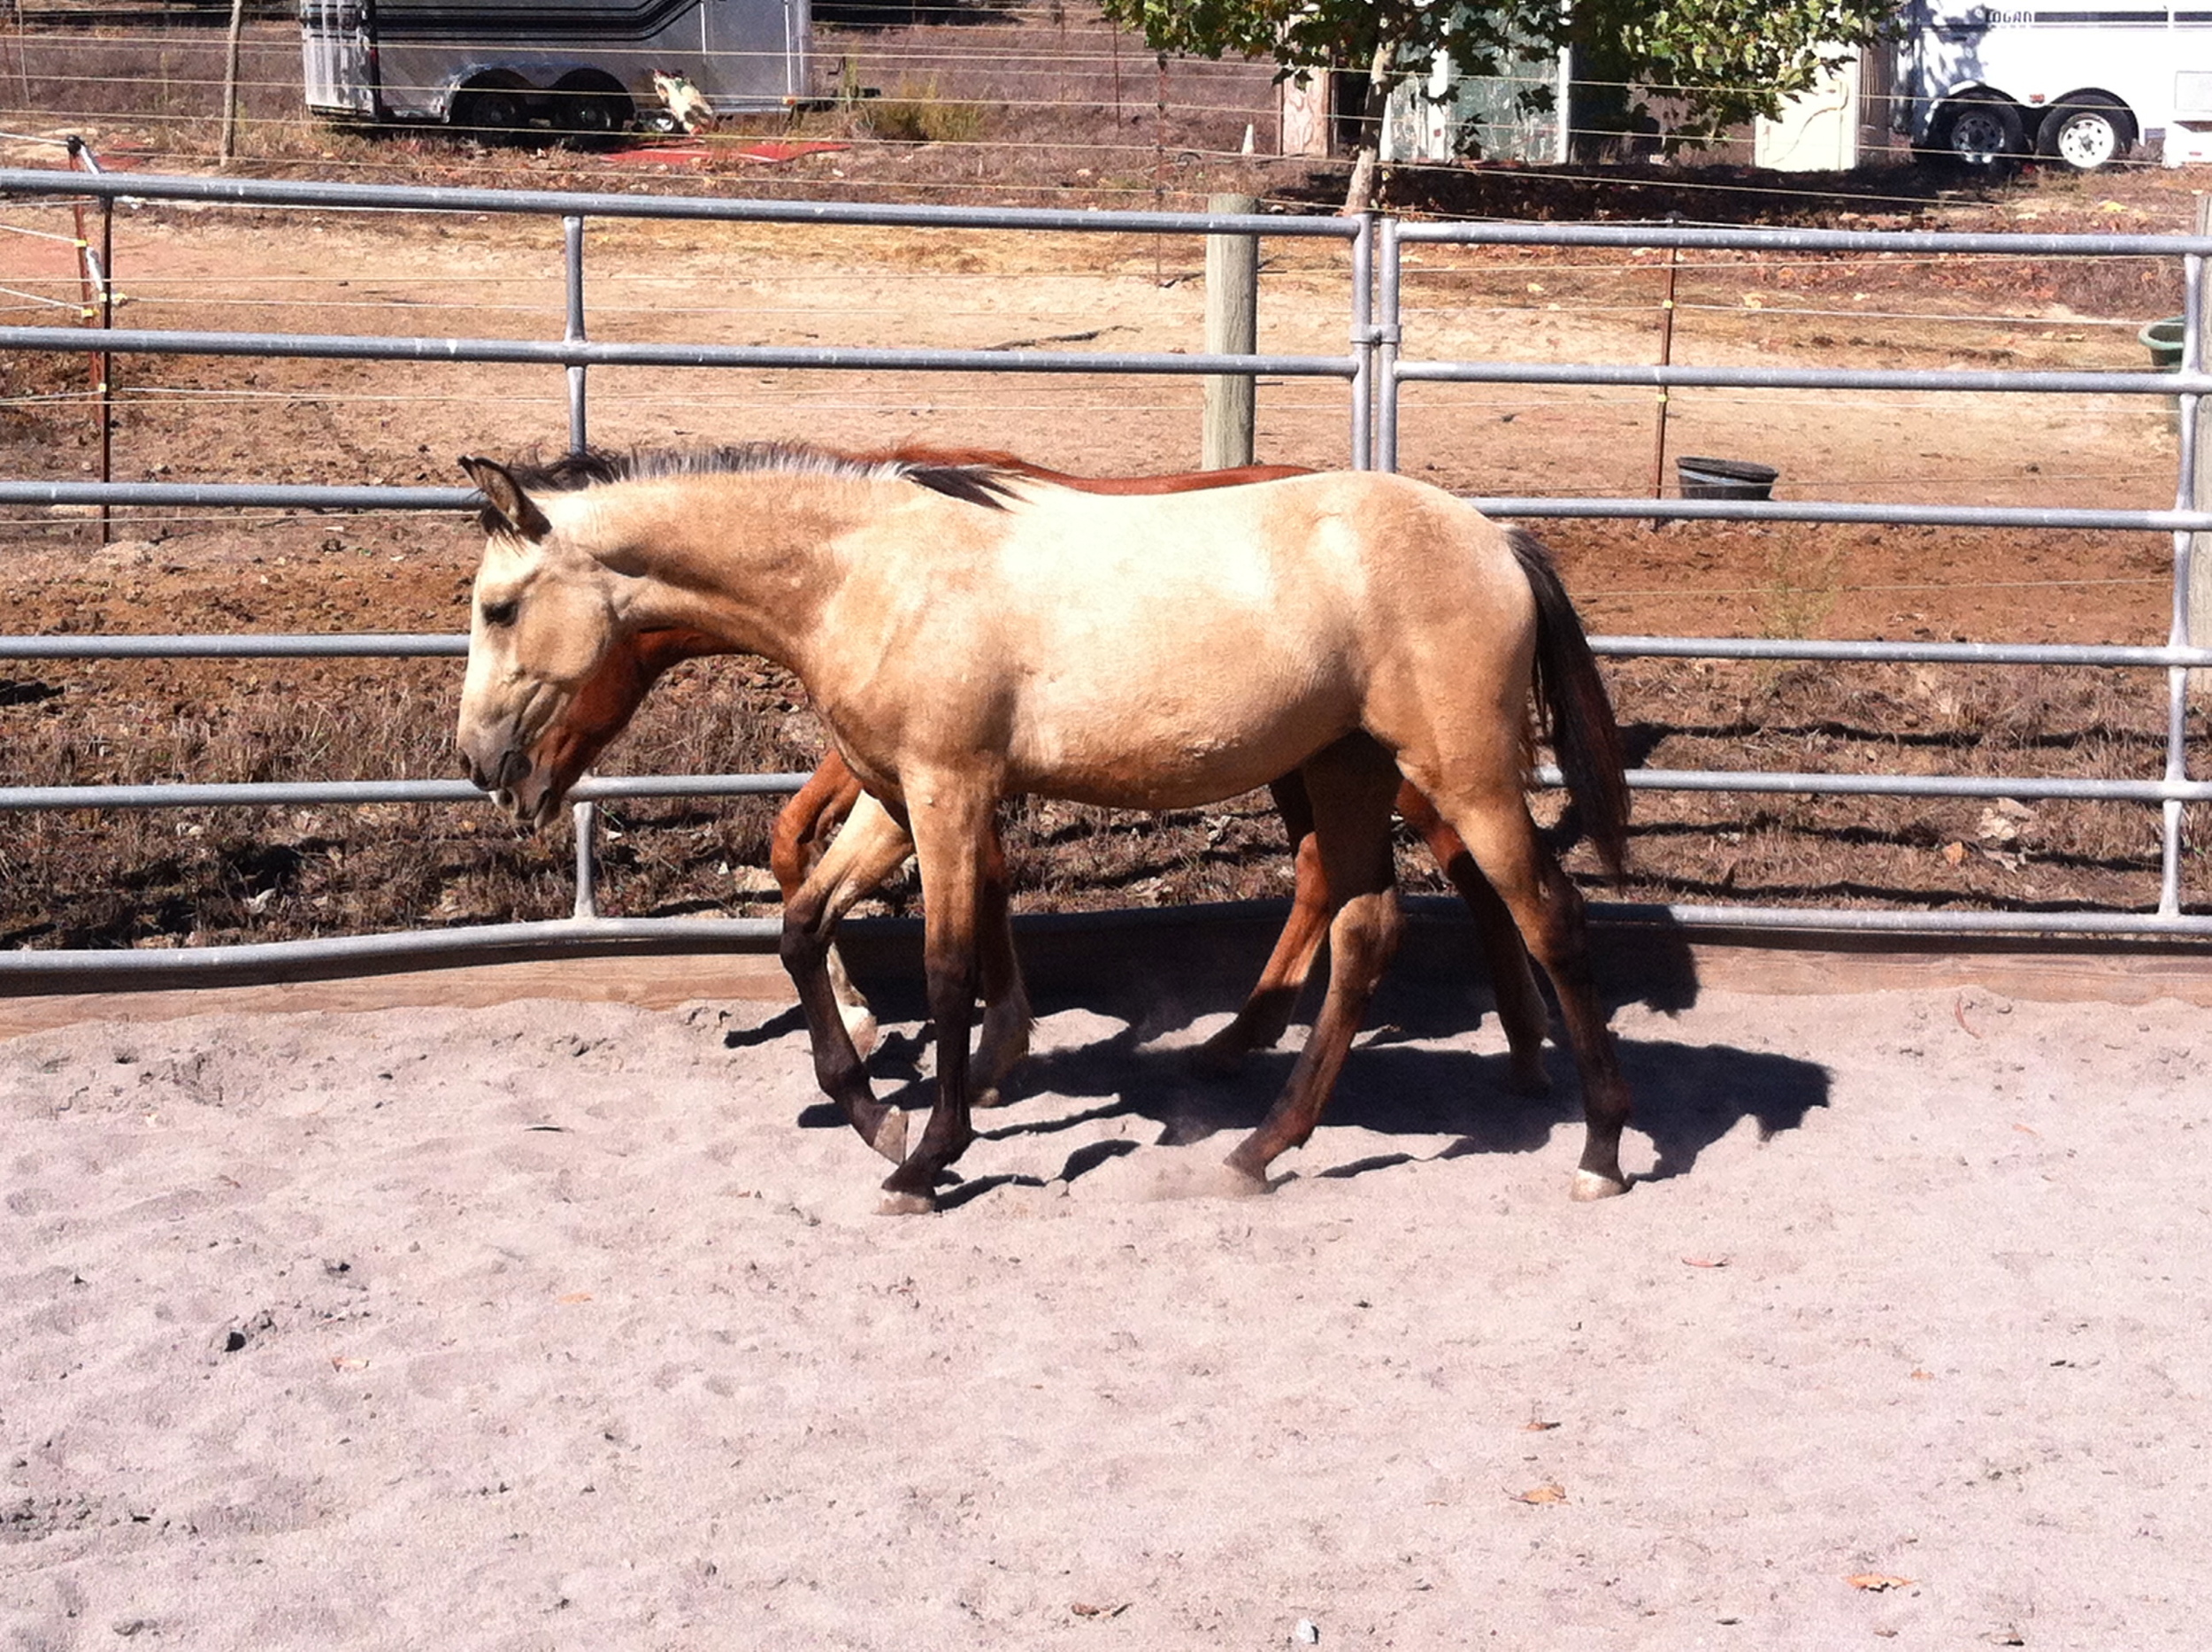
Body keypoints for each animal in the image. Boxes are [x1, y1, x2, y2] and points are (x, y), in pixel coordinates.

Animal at [455, 441, 1634, 1210]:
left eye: (498, 607)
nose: (478, 764)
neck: (868, 575)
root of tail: (1497, 537)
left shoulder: (947, 792)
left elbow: (946, 971)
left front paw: (926, 1157)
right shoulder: (894, 796)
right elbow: (799, 925)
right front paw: (872, 1110)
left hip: (1461, 777)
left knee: (1553, 918)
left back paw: (1600, 1148)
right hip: (1348, 773)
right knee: (1363, 928)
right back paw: (1259, 1145)